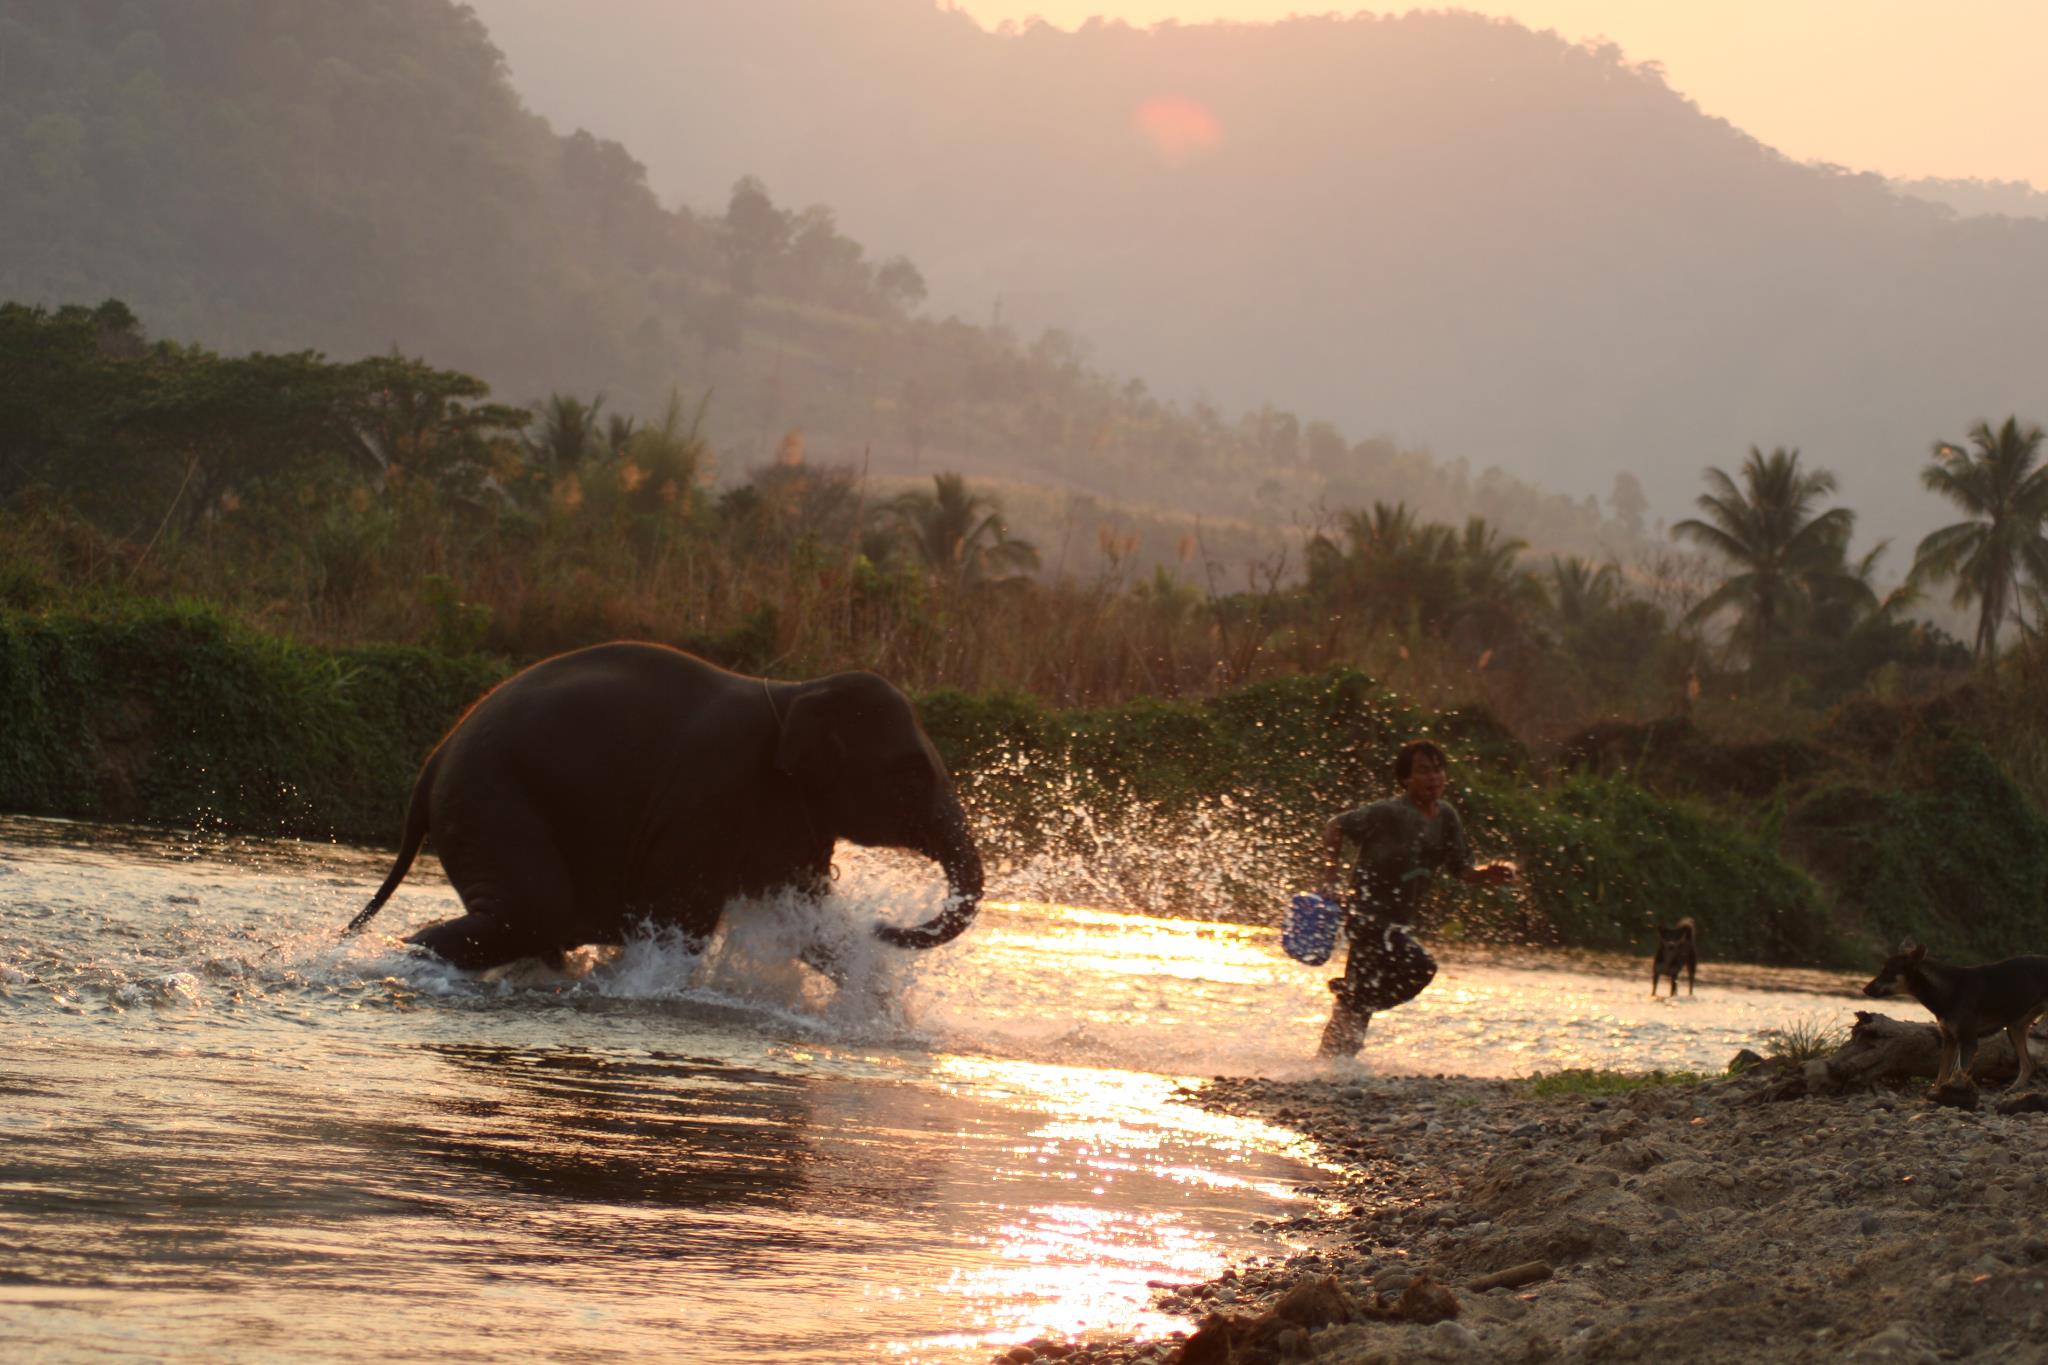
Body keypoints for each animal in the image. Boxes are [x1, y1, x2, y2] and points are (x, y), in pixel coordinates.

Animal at [344, 642, 984, 973]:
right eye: (912, 771)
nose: (884, 924)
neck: (796, 692)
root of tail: (432, 762)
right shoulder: (708, 787)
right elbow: (681, 912)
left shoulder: (790, 815)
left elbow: (806, 917)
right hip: (489, 798)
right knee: (532, 912)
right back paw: (410, 957)